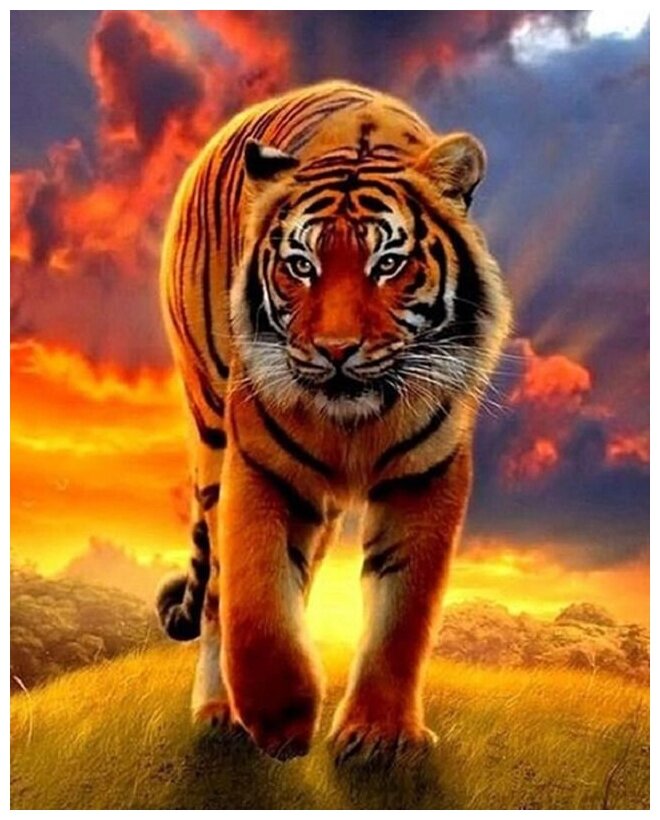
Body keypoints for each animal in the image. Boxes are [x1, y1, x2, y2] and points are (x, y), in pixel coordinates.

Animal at [156, 79, 511, 764]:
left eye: (388, 263)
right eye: (301, 266)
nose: (337, 350)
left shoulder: (426, 476)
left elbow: (403, 612)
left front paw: (378, 735)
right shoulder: (261, 465)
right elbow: (257, 599)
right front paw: (279, 719)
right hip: (211, 430)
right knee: (215, 591)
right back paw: (218, 711)